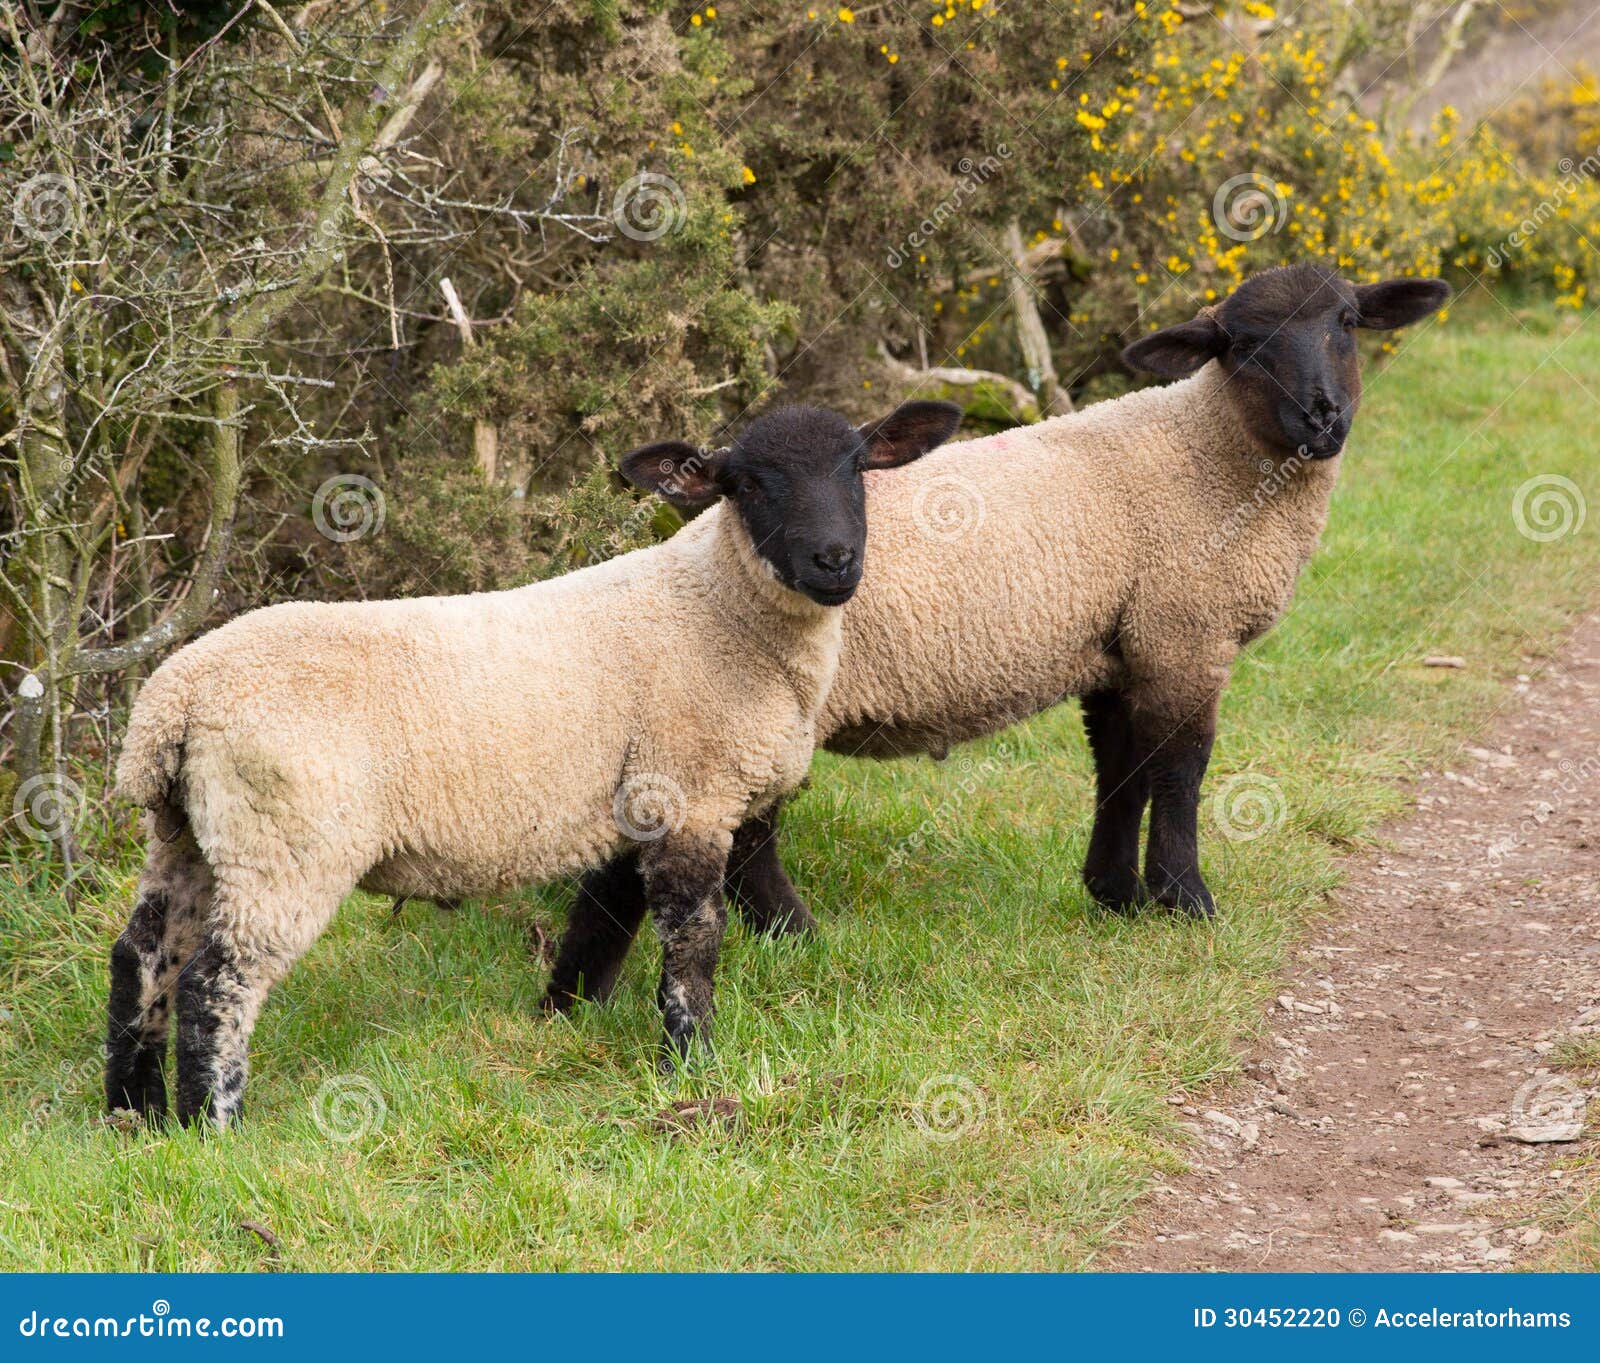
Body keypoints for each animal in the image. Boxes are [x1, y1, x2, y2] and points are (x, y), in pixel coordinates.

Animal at [106, 399, 963, 1128]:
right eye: (747, 482)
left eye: (857, 466)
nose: (834, 558)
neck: (720, 612)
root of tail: (174, 700)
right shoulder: (689, 790)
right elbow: (693, 940)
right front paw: (690, 1066)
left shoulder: (636, 797)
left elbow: (602, 922)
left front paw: (563, 1016)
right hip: (284, 841)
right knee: (216, 979)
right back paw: (212, 1126)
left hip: (188, 831)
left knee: (140, 957)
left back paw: (134, 1114)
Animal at [553, 263, 1450, 977]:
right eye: (1246, 345)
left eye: (1346, 321)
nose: (1322, 416)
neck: (1210, 459)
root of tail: (673, 573)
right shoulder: (1183, 634)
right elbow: (1179, 770)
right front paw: (1185, 900)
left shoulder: (1121, 640)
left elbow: (1120, 770)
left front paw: (1115, 894)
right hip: (744, 715)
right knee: (744, 836)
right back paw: (797, 939)